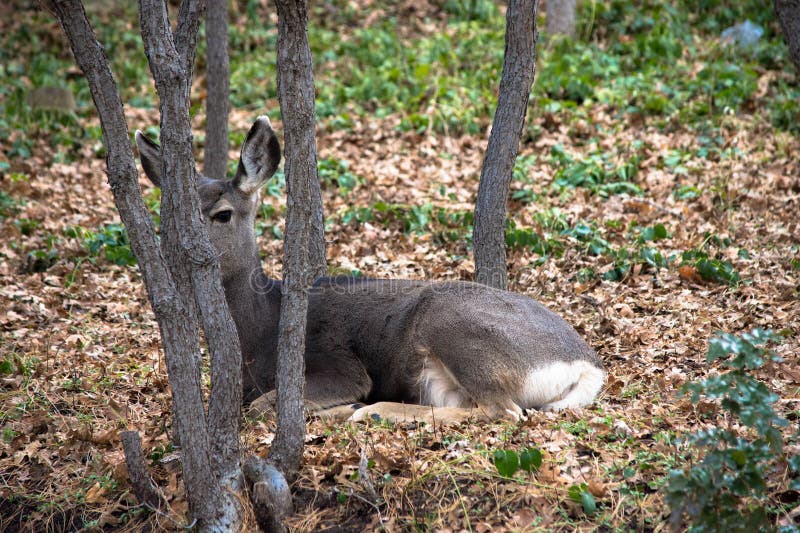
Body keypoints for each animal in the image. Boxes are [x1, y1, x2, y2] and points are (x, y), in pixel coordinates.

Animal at [135, 116, 605, 423]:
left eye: (223, 214)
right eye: (169, 213)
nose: (174, 254)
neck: (262, 330)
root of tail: (588, 365)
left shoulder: (339, 366)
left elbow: (264, 404)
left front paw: (345, 406)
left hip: (452, 323)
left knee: (504, 411)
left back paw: (370, 411)